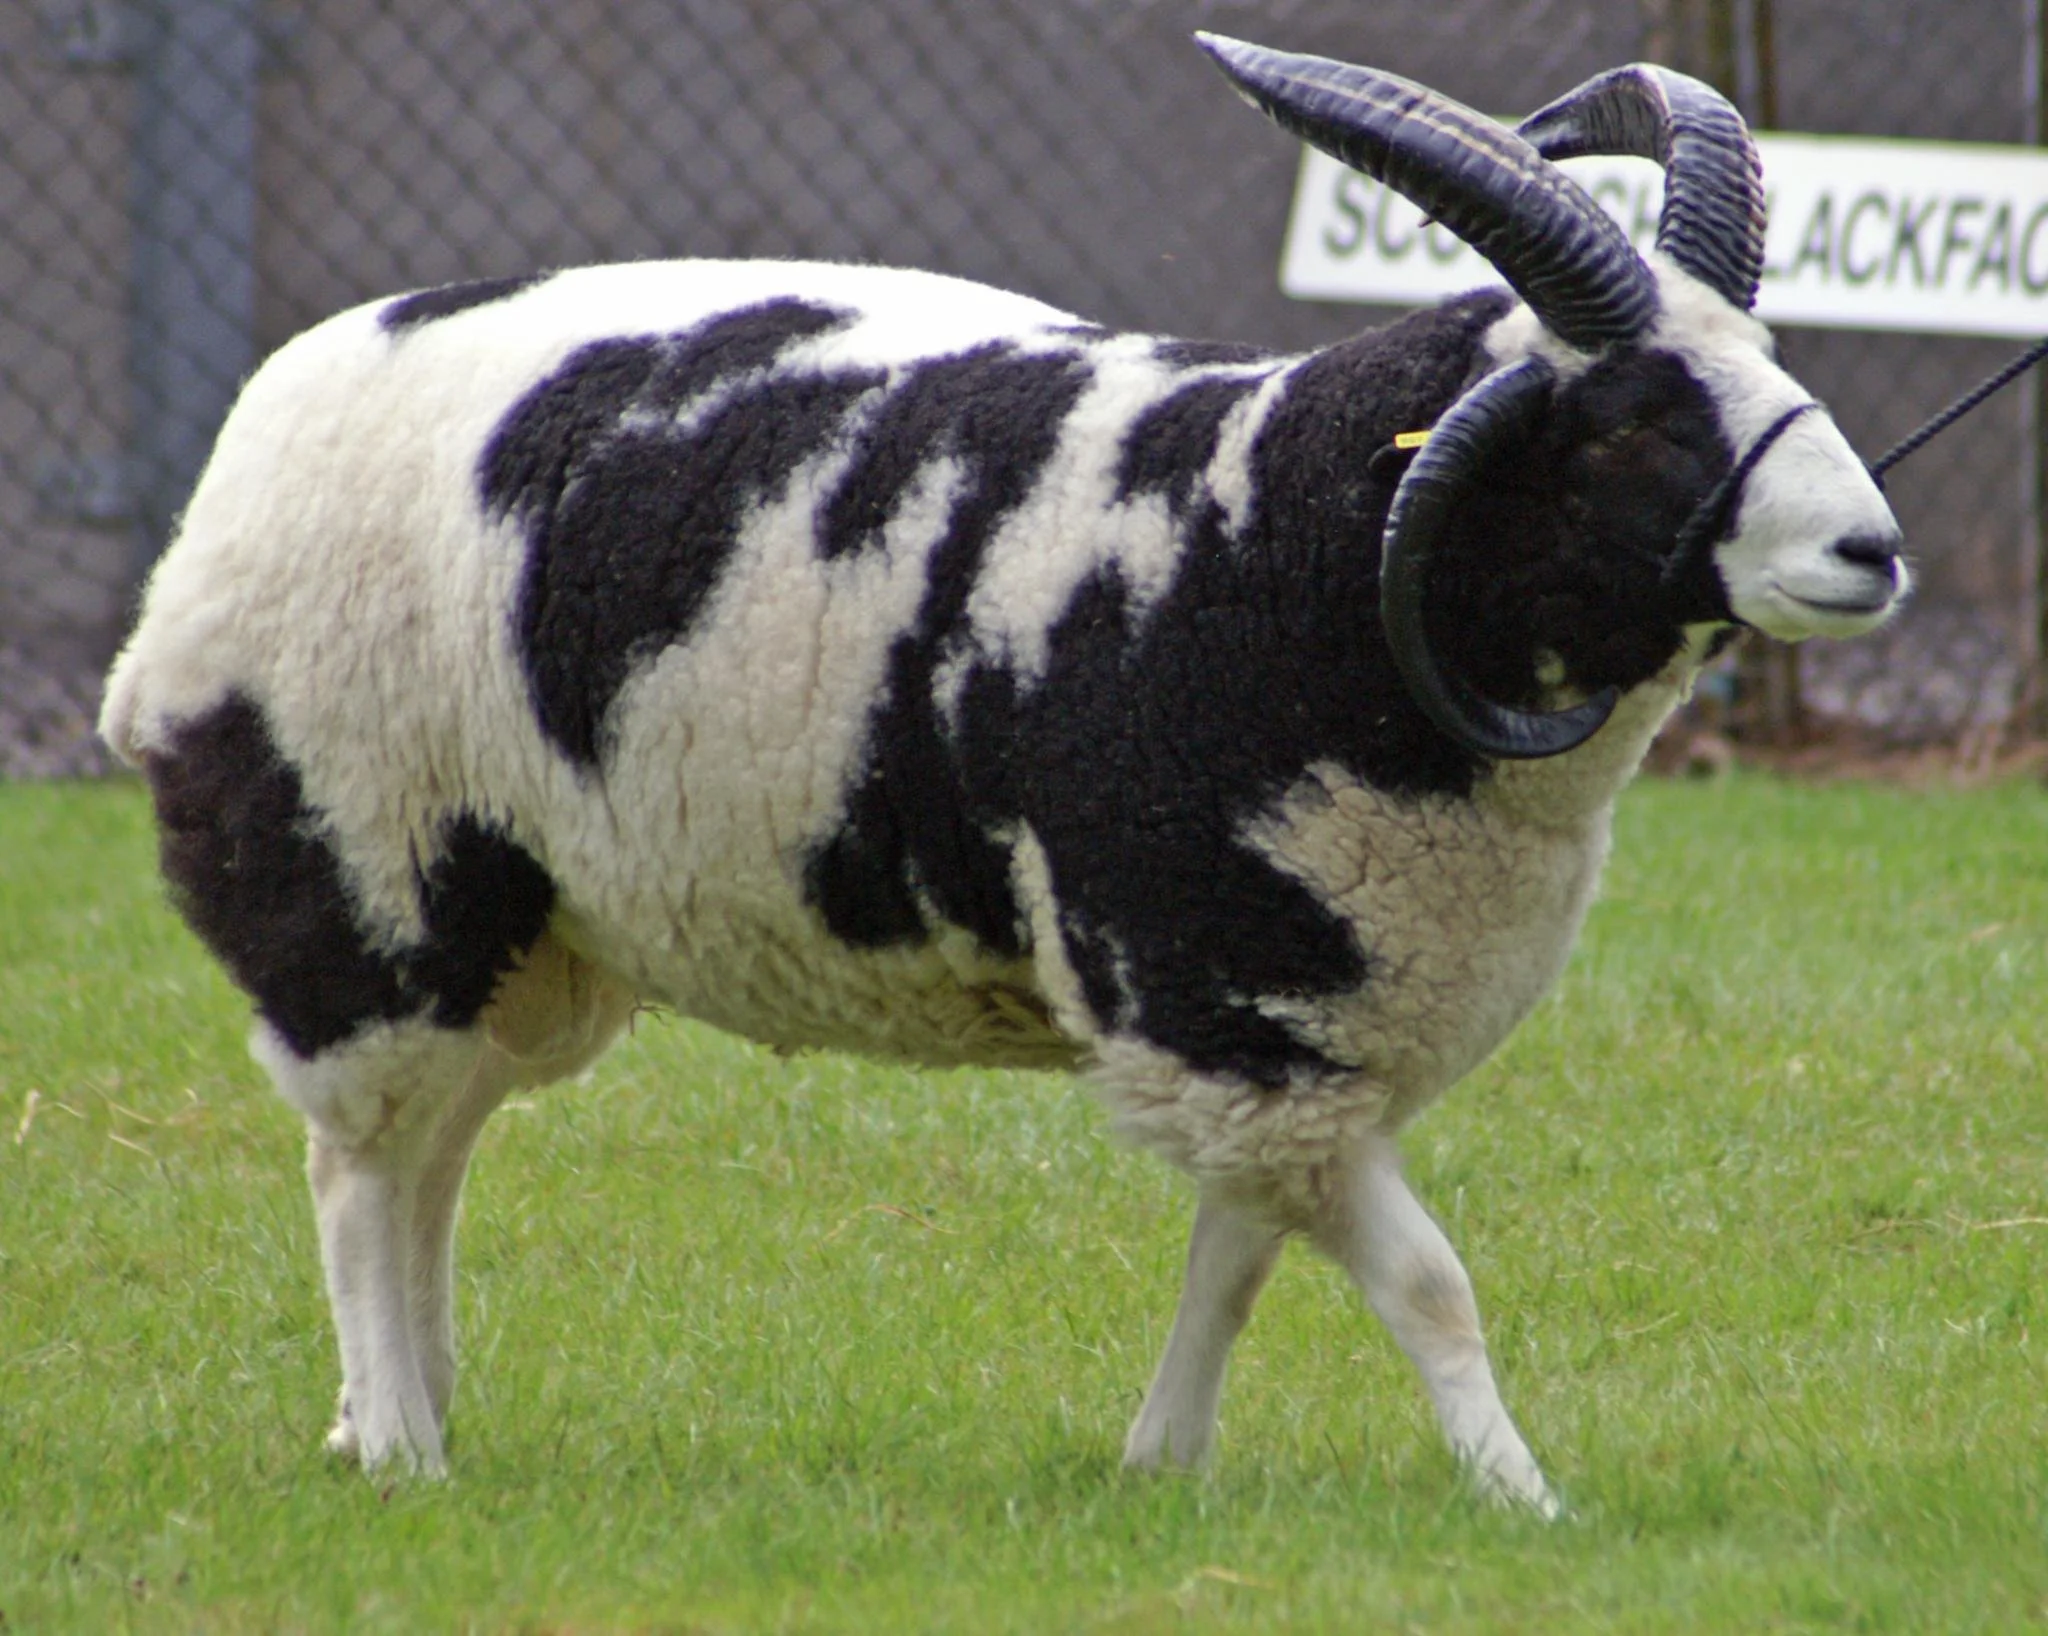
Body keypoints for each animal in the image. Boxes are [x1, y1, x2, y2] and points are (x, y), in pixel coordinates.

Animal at [99, 35, 1906, 1513]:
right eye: (1624, 420)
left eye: (1767, 359)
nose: (1868, 550)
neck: (1277, 543)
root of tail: (267, 414)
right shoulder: (1212, 977)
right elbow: (1423, 1283)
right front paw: (1524, 1504)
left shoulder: (1268, 1021)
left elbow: (1237, 1257)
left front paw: (1161, 1469)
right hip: (357, 875)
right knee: (359, 1169)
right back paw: (404, 1447)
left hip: (521, 922)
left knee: (435, 1158)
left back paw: (396, 1416)